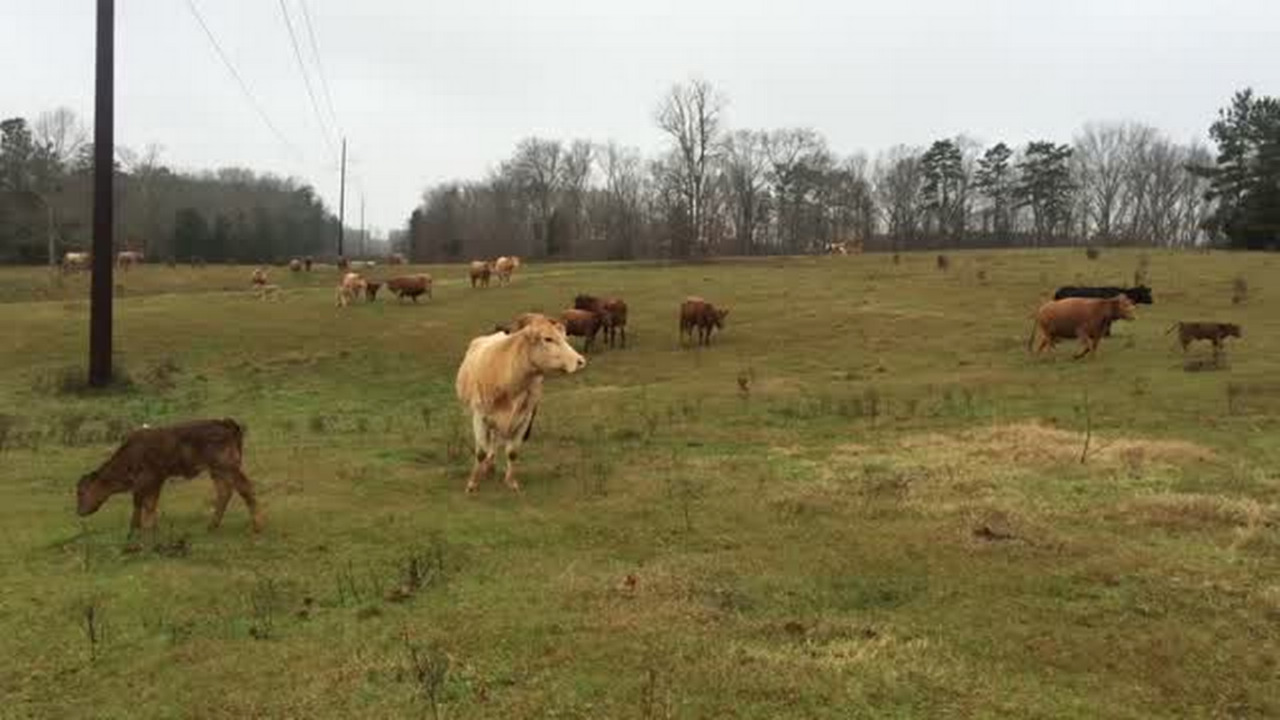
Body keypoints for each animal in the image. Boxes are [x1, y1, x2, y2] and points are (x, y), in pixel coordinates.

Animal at [75, 418, 263, 539]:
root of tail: (225, 423)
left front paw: (134, 531)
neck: (130, 455)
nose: (79, 511)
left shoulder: (145, 481)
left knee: (246, 489)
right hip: (217, 471)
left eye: (81, 492)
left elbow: (139, 504)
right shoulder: (156, 480)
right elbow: (150, 504)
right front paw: (151, 530)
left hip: (228, 467)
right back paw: (212, 526)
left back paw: (256, 528)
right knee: (225, 492)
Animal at [455, 314, 586, 493]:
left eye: (564, 337)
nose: (580, 361)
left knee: (494, 440)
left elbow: (512, 452)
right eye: (548, 338)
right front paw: (472, 484)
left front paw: (511, 482)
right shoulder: (479, 416)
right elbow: (480, 452)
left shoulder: (524, 418)